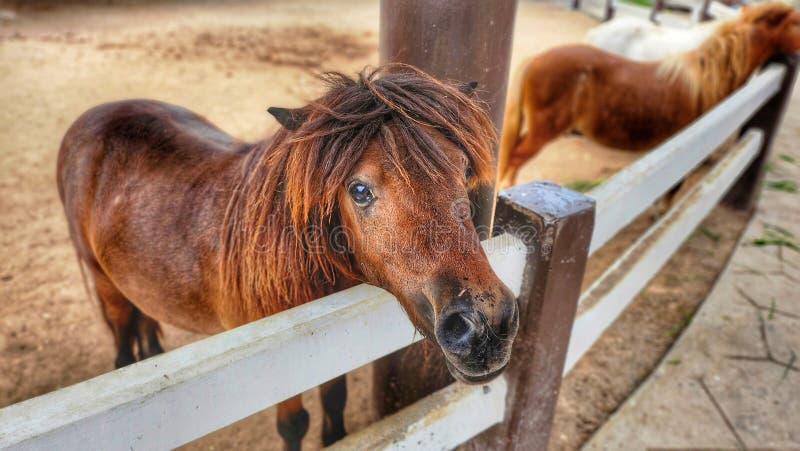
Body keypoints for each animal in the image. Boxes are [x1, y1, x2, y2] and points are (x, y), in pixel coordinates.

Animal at [57, 64, 519, 450]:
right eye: (359, 190)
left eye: (463, 170)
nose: (484, 325)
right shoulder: (280, 372)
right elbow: (293, 425)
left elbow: (335, 400)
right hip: (102, 280)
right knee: (122, 331)